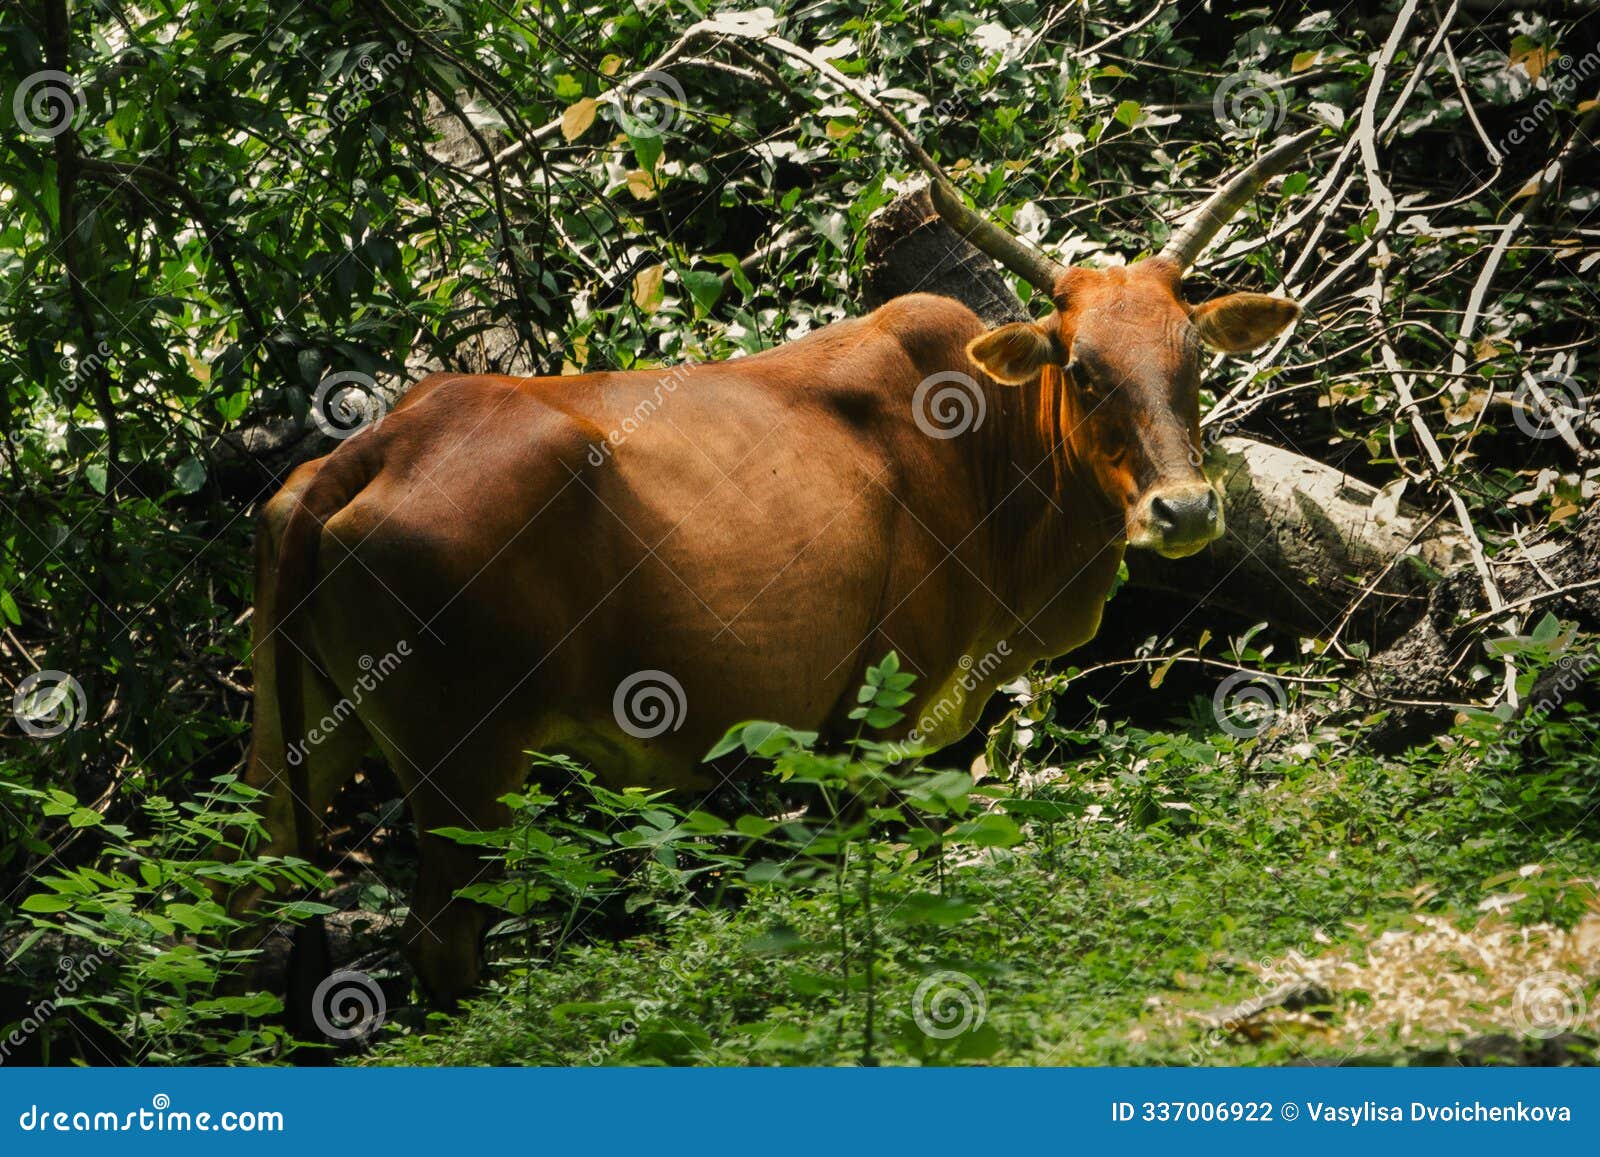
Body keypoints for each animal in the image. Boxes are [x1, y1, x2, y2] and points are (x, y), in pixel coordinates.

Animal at [237, 130, 1318, 1007]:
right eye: (1084, 369)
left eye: (1191, 358)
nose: (1184, 509)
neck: (988, 446)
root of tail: (362, 455)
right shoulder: (886, 724)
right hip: (467, 765)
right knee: (440, 941)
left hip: (298, 743)